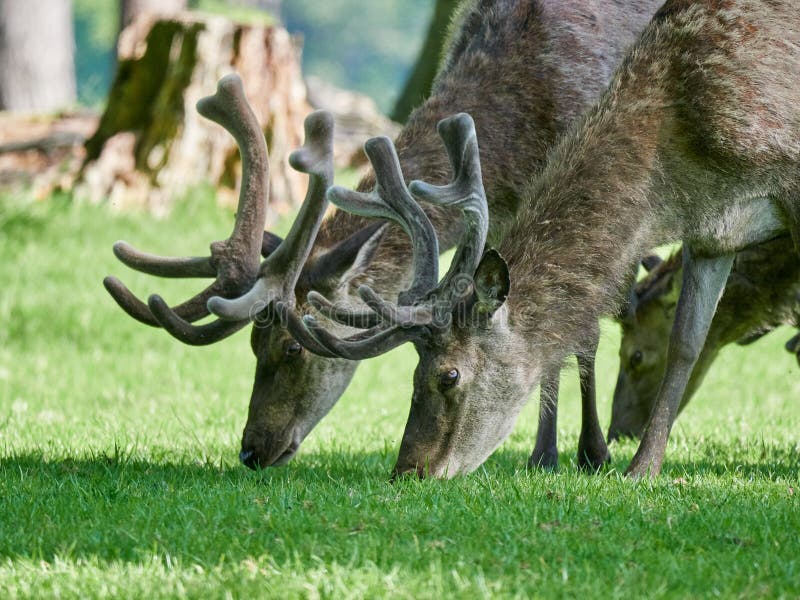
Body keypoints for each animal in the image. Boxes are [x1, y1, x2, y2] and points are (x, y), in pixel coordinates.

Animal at [104, 0, 666, 471]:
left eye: (294, 348)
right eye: (253, 344)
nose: (251, 450)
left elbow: (581, 332)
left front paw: (582, 453)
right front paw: (550, 451)